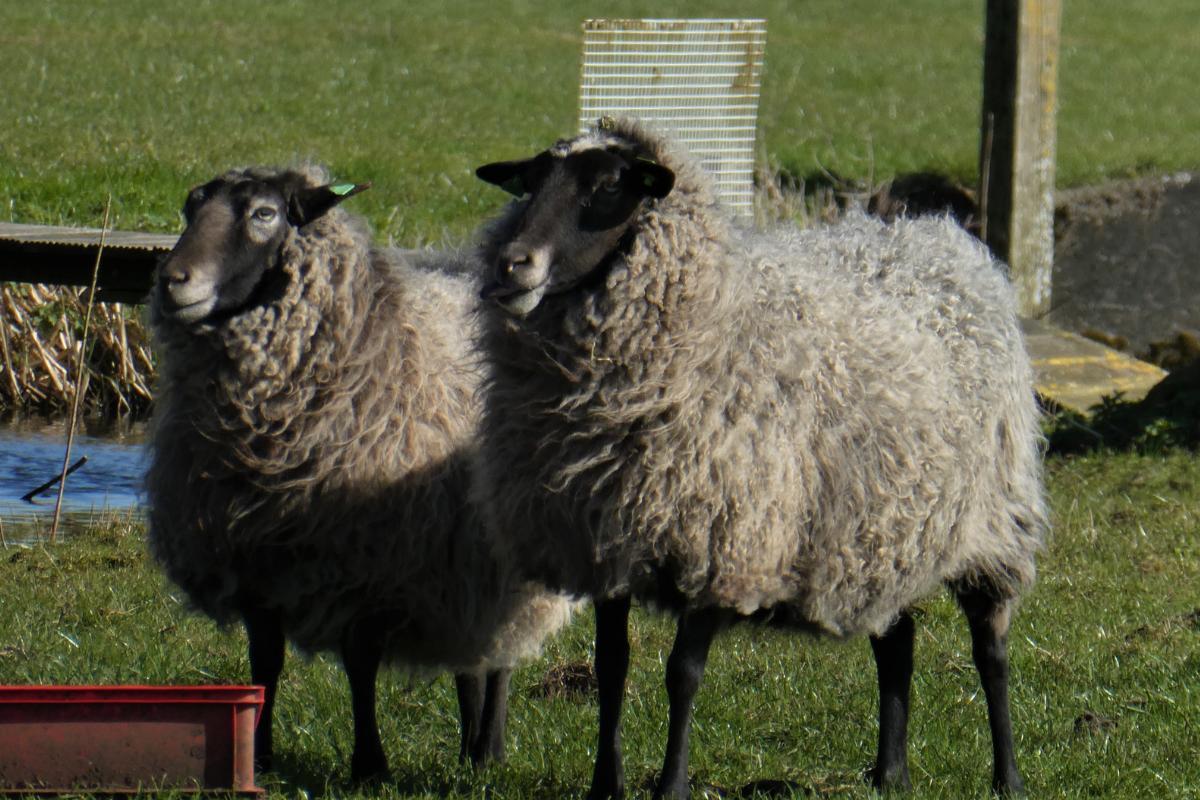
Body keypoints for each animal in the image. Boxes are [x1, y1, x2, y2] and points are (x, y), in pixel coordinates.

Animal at [144, 165, 573, 782]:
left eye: (264, 214)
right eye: (190, 208)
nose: (171, 281)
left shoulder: (370, 566)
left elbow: (360, 665)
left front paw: (370, 763)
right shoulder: (256, 560)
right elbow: (265, 660)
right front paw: (261, 752)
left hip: (505, 557)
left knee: (500, 654)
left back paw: (487, 750)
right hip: (464, 562)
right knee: (471, 655)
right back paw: (469, 751)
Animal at [471, 118, 1047, 799]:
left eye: (610, 186)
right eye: (530, 182)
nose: (513, 263)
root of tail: (943, 239)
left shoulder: (718, 541)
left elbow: (682, 674)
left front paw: (671, 786)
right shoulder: (605, 542)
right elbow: (612, 668)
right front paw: (604, 786)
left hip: (993, 520)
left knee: (991, 650)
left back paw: (1008, 775)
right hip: (885, 529)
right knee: (898, 639)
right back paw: (890, 772)